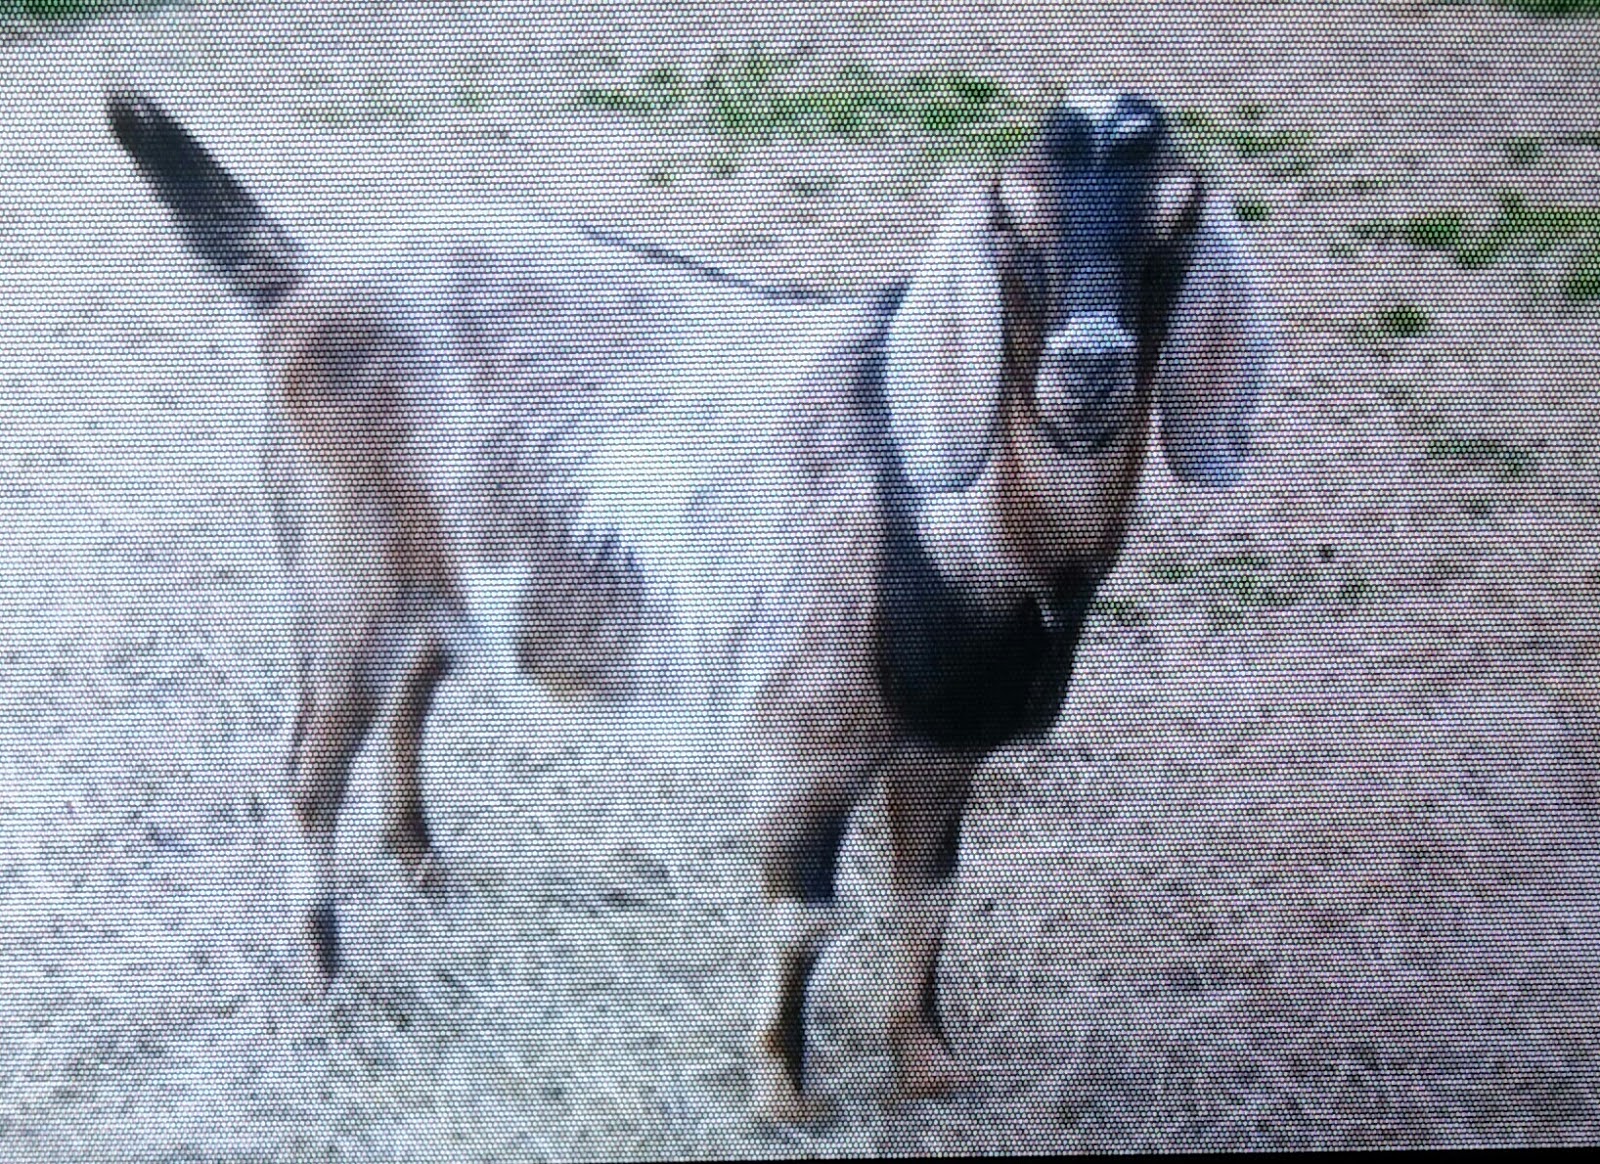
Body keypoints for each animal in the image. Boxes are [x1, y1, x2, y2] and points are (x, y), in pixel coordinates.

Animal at [108, 88, 1268, 1120]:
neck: (965, 531)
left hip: (444, 572)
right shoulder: (807, 738)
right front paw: (785, 1094)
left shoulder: (945, 747)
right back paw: (326, 977)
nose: (1089, 372)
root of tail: (300, 274)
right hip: (339, 570)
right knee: (311, 766)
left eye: (1178, 223)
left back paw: (422, 863)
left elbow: (928, 898)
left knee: (415, 691)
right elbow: (802, 917)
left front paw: (930, 1067)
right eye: (1011, 223)